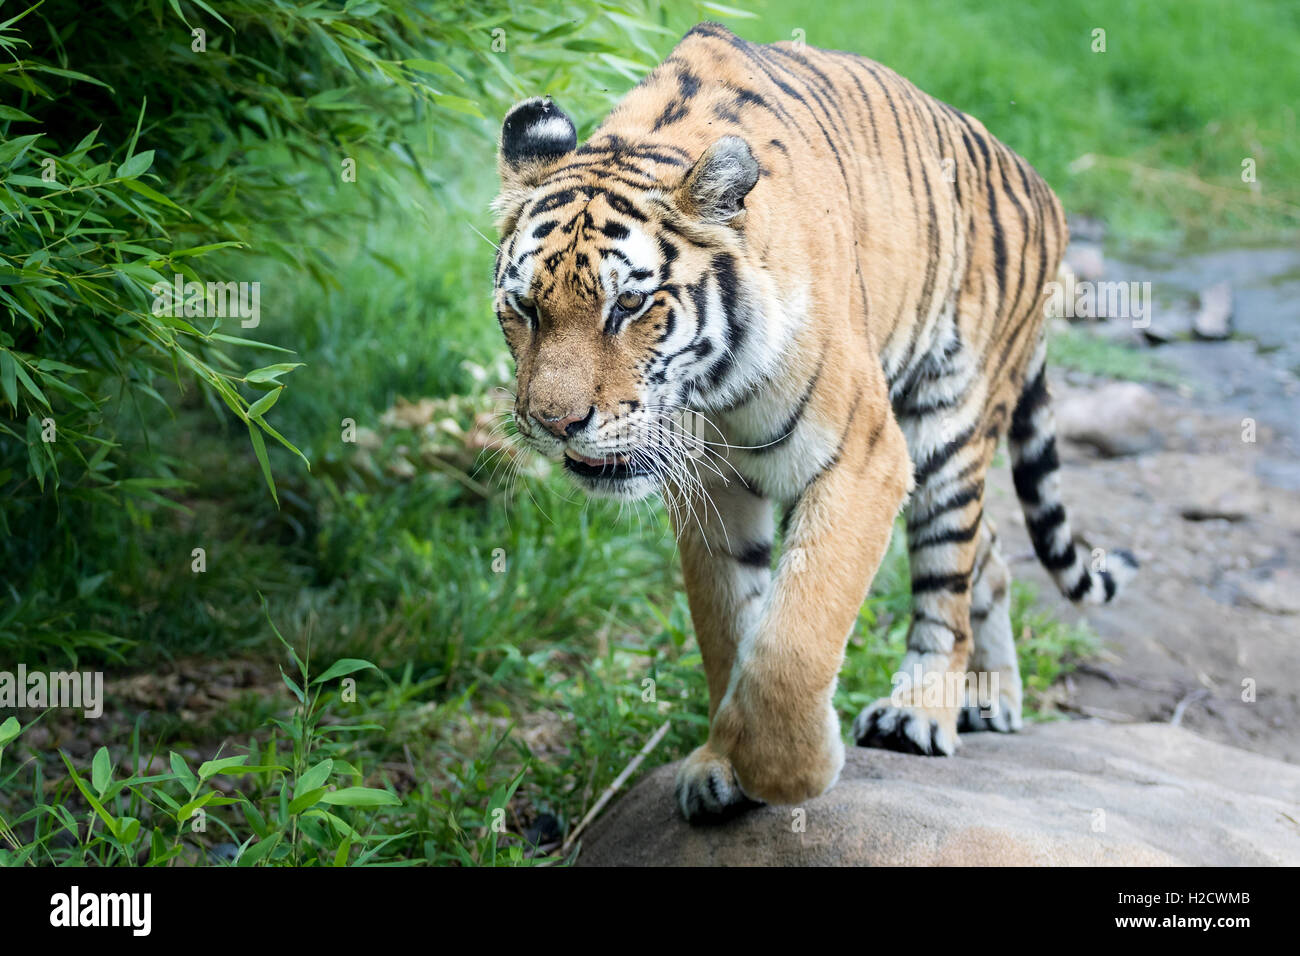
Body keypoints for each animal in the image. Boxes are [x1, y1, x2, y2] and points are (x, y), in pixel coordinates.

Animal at [490, 22, 1137, 823]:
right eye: (524, 307)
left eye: (630, 306)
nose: (554, 423)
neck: (715, 395)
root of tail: (1040, 185)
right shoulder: (711, 492)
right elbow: (730, 632)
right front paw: (720, 765)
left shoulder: (865, 458)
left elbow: (794, 640)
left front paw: (789, 772)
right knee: (987, 557)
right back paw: (992, 698)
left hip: (948, 425)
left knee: (948, 581)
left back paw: (919, 713)